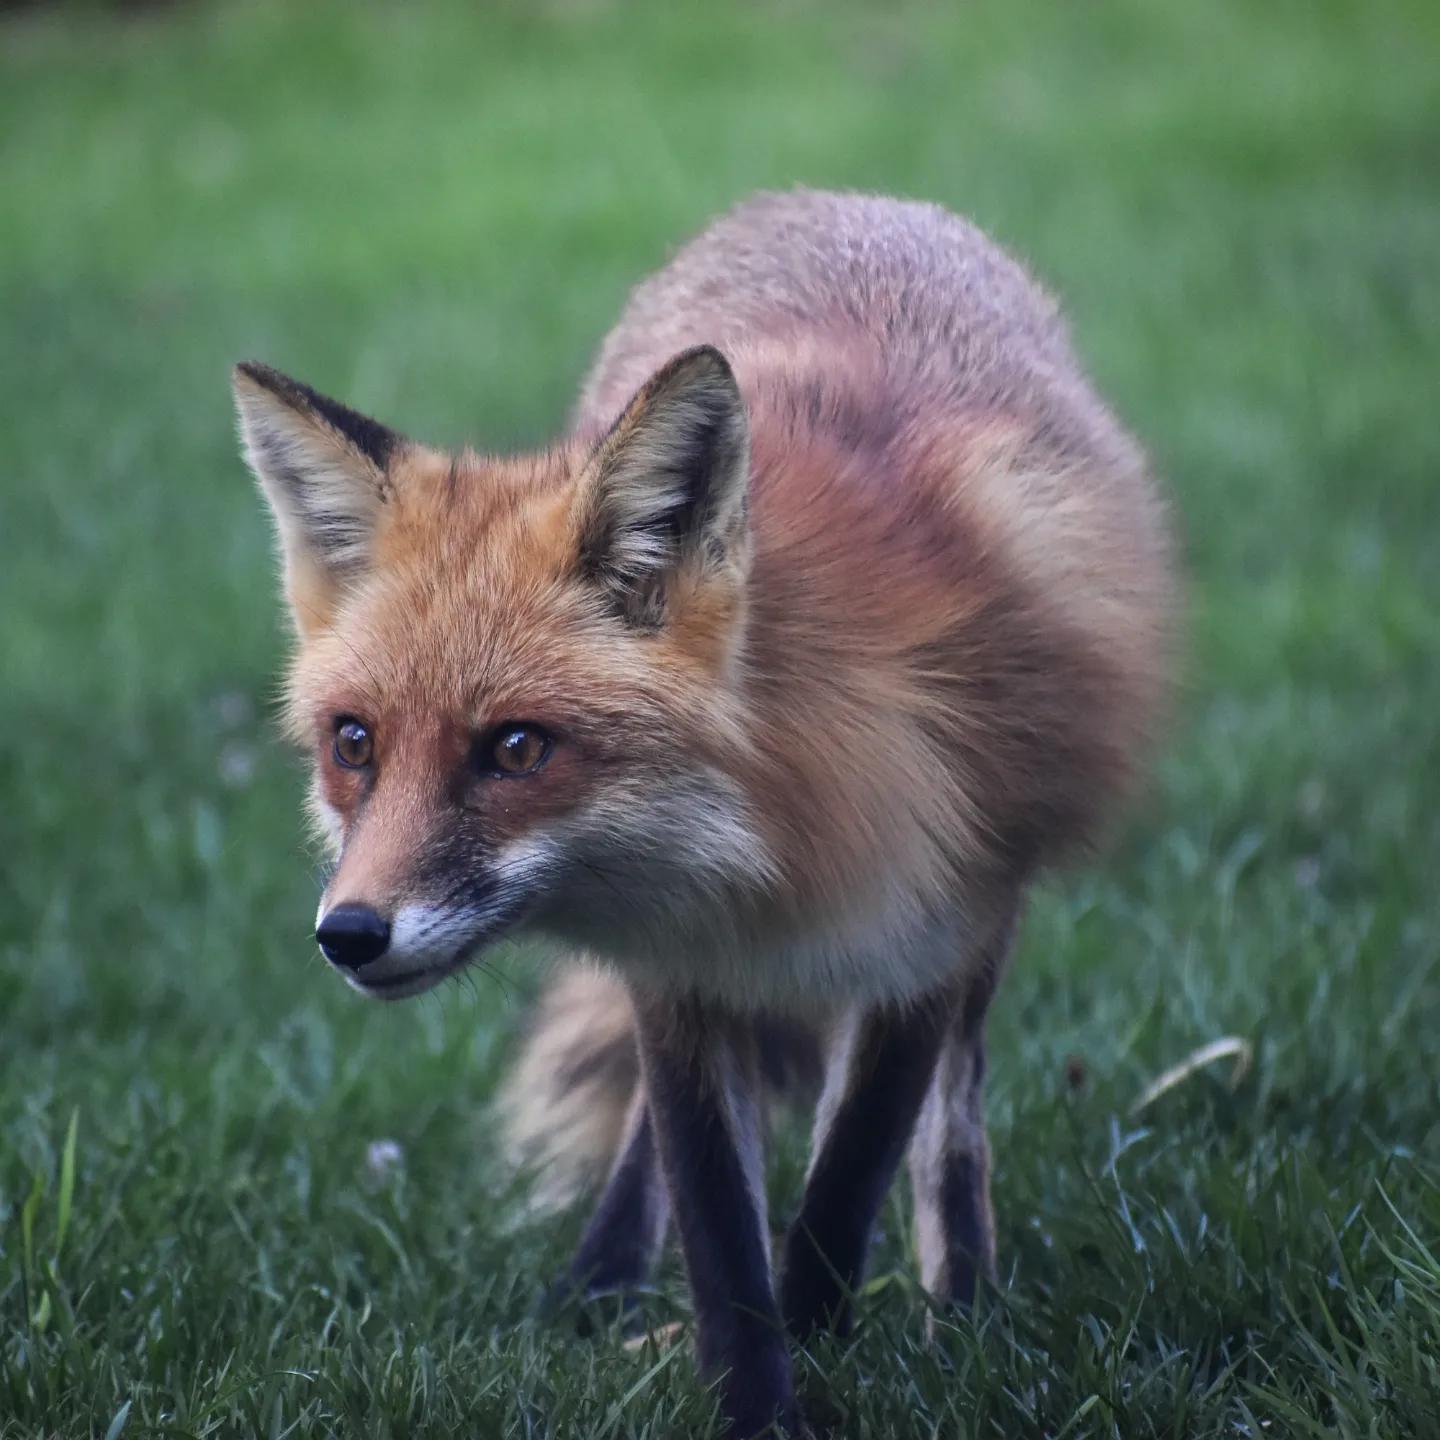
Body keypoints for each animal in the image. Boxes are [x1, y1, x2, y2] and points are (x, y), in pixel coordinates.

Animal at [234, 188, 1172, 1437]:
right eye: (354, 746)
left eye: (517, 749)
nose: (348, 935)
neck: (779, 832)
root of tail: (840, 198)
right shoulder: (677, 969)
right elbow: (720, 1229)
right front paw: (749, 1397)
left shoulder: (928, 937)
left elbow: (844, 1189)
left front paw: (823, 1347)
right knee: (648, 1146)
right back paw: (594, 1292)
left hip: (988, 934)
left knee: (952, 1127)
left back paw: (962, 1311)